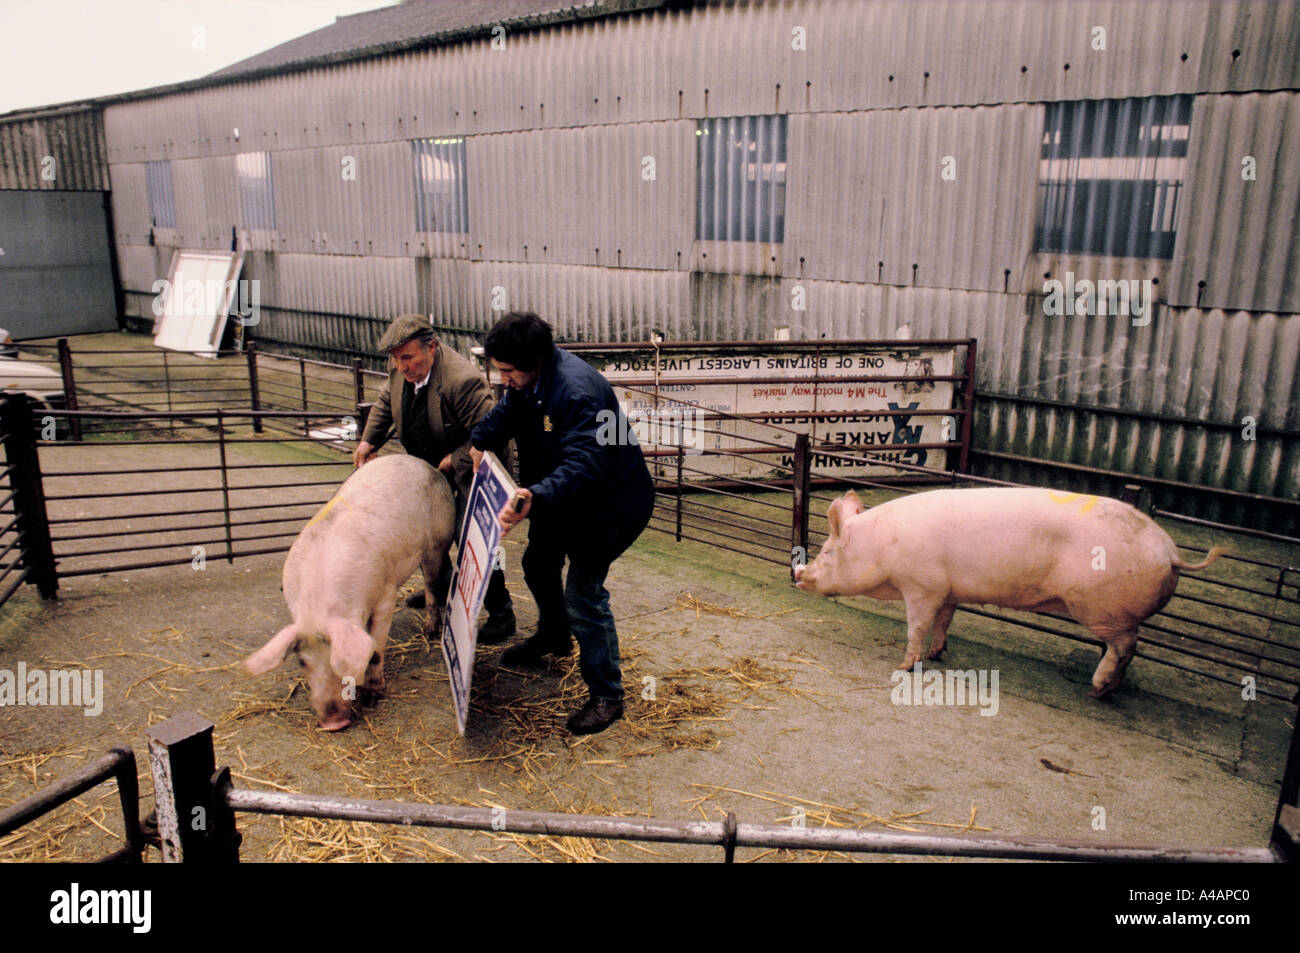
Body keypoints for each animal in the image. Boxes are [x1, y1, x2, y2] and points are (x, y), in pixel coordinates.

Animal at [241, 454, 455, 730]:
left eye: (336, 660)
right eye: (301, 661)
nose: (333, 723)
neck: (319, 604)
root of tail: (427, 464)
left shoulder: (386, 593)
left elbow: (376, 647)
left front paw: (373, 697)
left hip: (438, 543)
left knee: (432, 585)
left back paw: (431, 631)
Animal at [793, 487, 1225, 698]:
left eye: (827, 551)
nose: (798, 574)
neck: (883, 546)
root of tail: (1171, 553)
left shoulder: (922, 586)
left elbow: (917, 625)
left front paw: (904, 666)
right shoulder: (949, 588)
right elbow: (945, 621)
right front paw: (937, 654)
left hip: (1106, 610)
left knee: (1126, 646)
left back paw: (1097, 691)